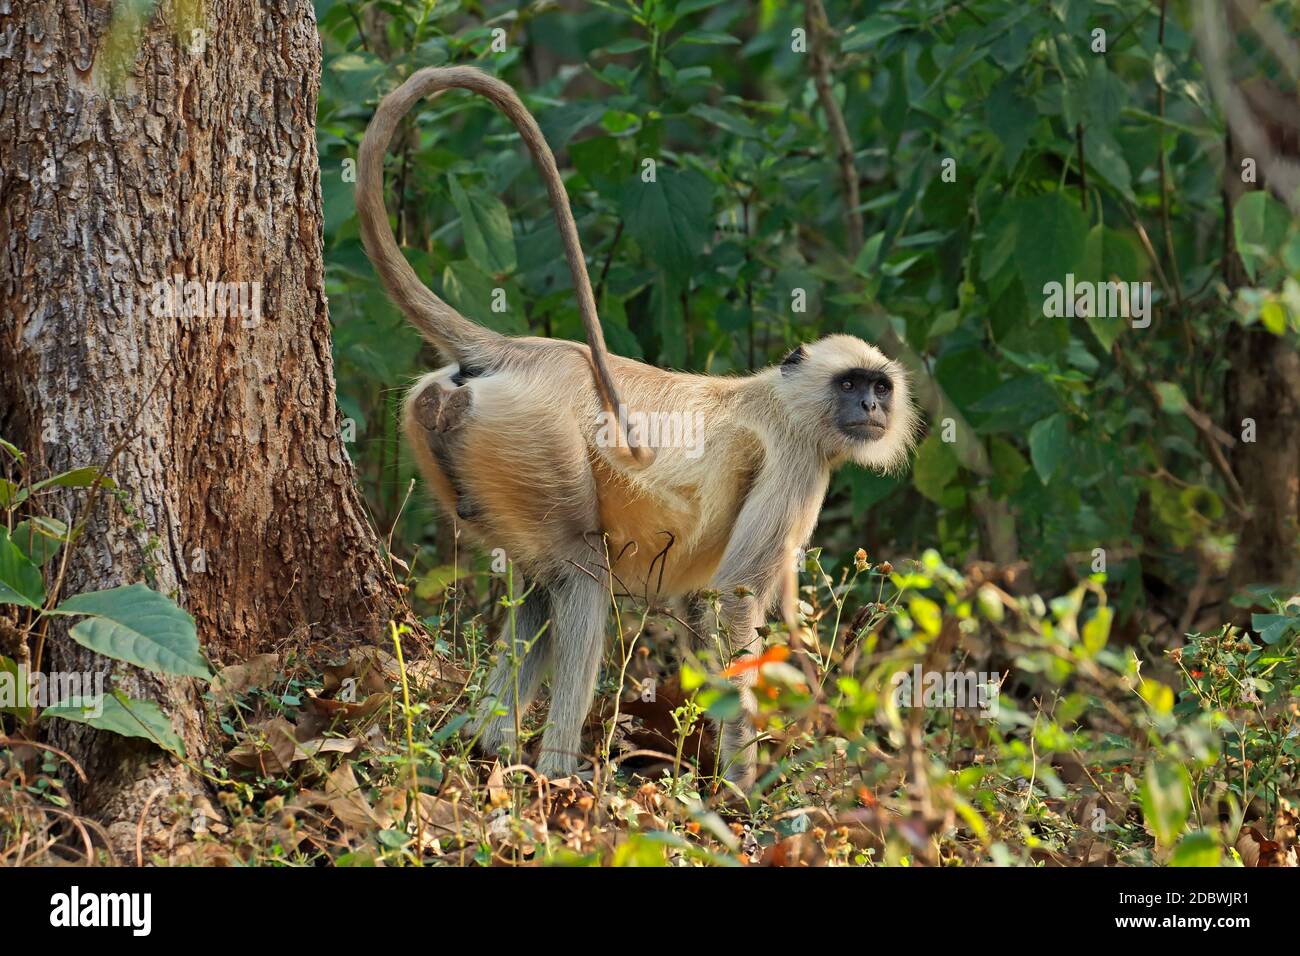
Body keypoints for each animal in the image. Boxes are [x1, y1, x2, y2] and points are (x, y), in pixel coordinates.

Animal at [357, 65, 919, 789]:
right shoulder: (799, 458)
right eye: (850, 385)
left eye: (879, 387)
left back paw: (489, 750)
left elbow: (718, 609)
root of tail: (520, 352)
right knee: (581, 574)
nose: (872, 409)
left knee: (538, 586)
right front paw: (742, 789)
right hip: (534, 436)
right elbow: (732, 598)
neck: (781, 396)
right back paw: (556, 775)